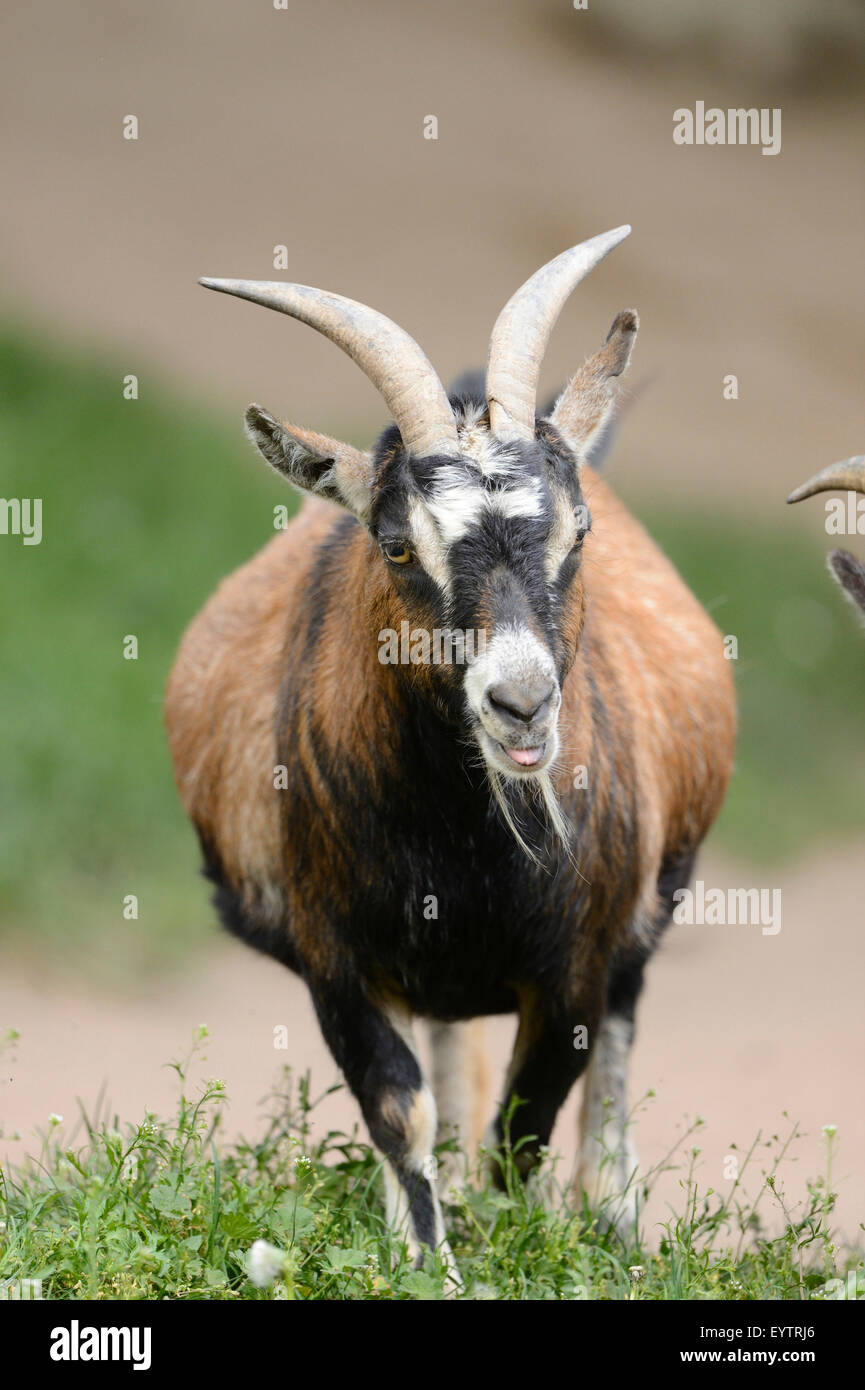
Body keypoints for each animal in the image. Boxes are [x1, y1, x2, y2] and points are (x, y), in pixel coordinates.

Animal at [165, 227, 737, 1283]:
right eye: (395, 544)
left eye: (577, 530)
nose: (521, 705)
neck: (461, 848)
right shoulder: (338, 961)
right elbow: (401, 1111)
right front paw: (429, 1262)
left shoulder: (574, 971)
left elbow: (523, 1130)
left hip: (643, 919)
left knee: (611, 1068)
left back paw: (616, 1227)